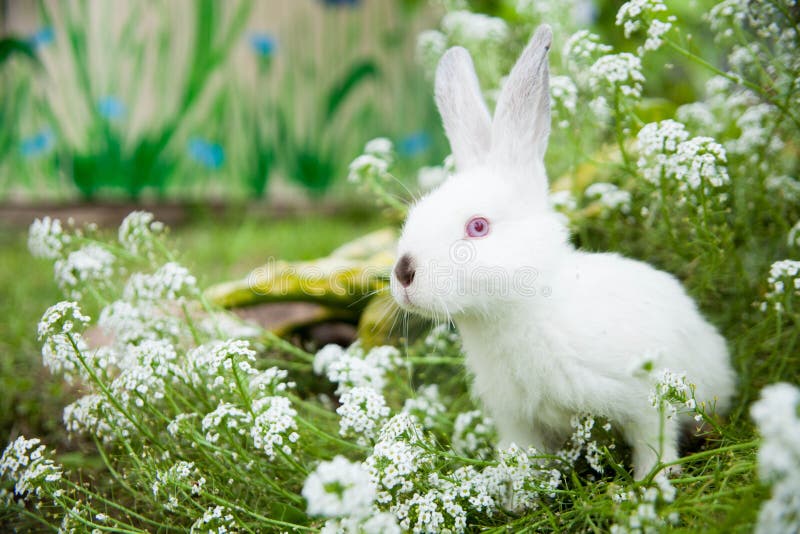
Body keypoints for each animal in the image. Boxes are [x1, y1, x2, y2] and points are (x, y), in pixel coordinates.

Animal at [389, 25, 736, 480]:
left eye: (478, 226)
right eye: (415, 215)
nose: (403, 273)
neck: (523, 309)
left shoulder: (646, 399)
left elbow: (653, 444)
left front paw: (649, 484)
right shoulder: (516, 421)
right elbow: (522, 459)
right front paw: (519, 491)